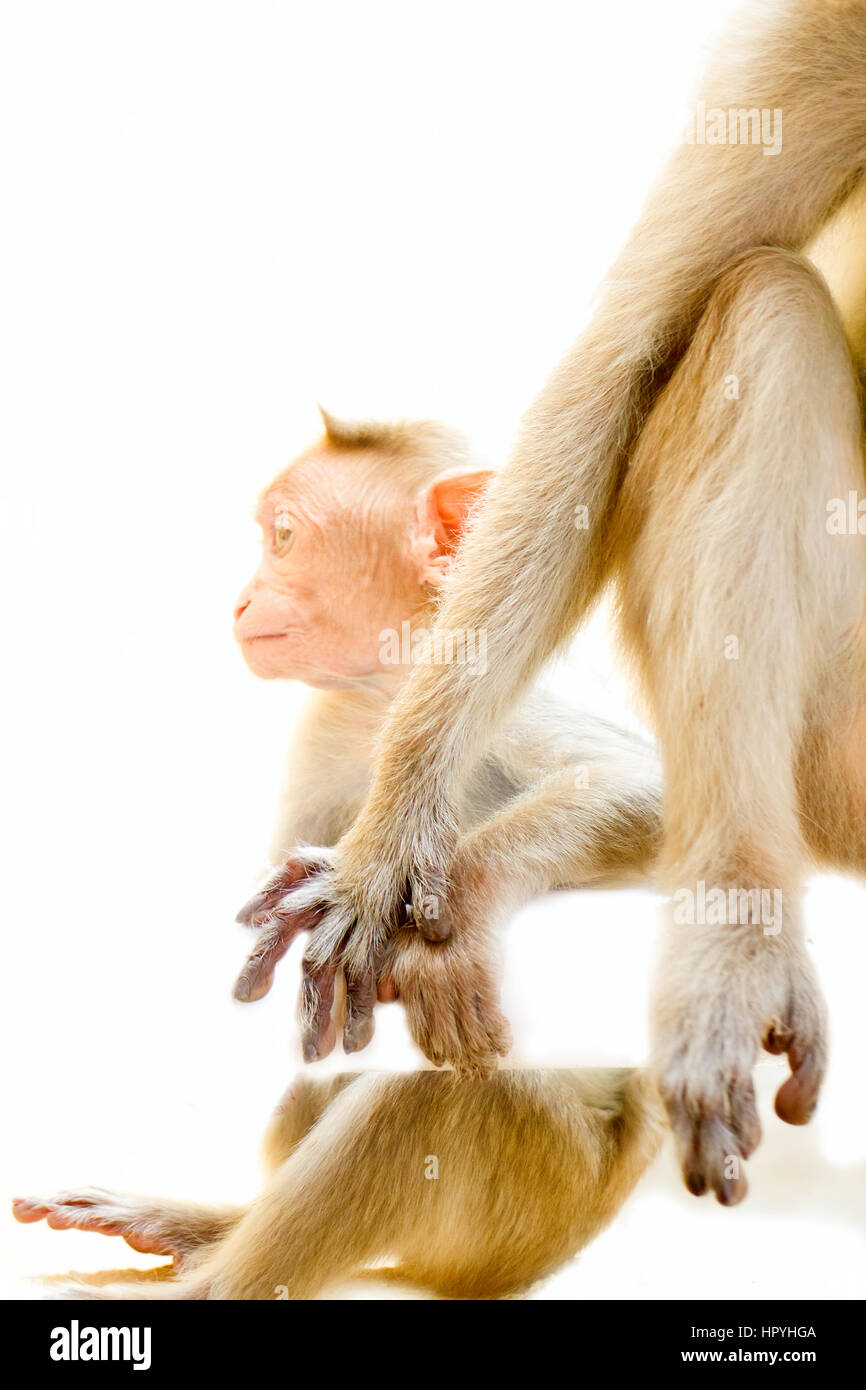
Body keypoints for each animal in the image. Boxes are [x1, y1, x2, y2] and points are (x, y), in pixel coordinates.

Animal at [230, 408, 662, 1075]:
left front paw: (450, 924)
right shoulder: (325, 724)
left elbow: (641, 780)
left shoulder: (508, 685)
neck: (386, 687)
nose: (240, 602)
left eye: (282, 536)